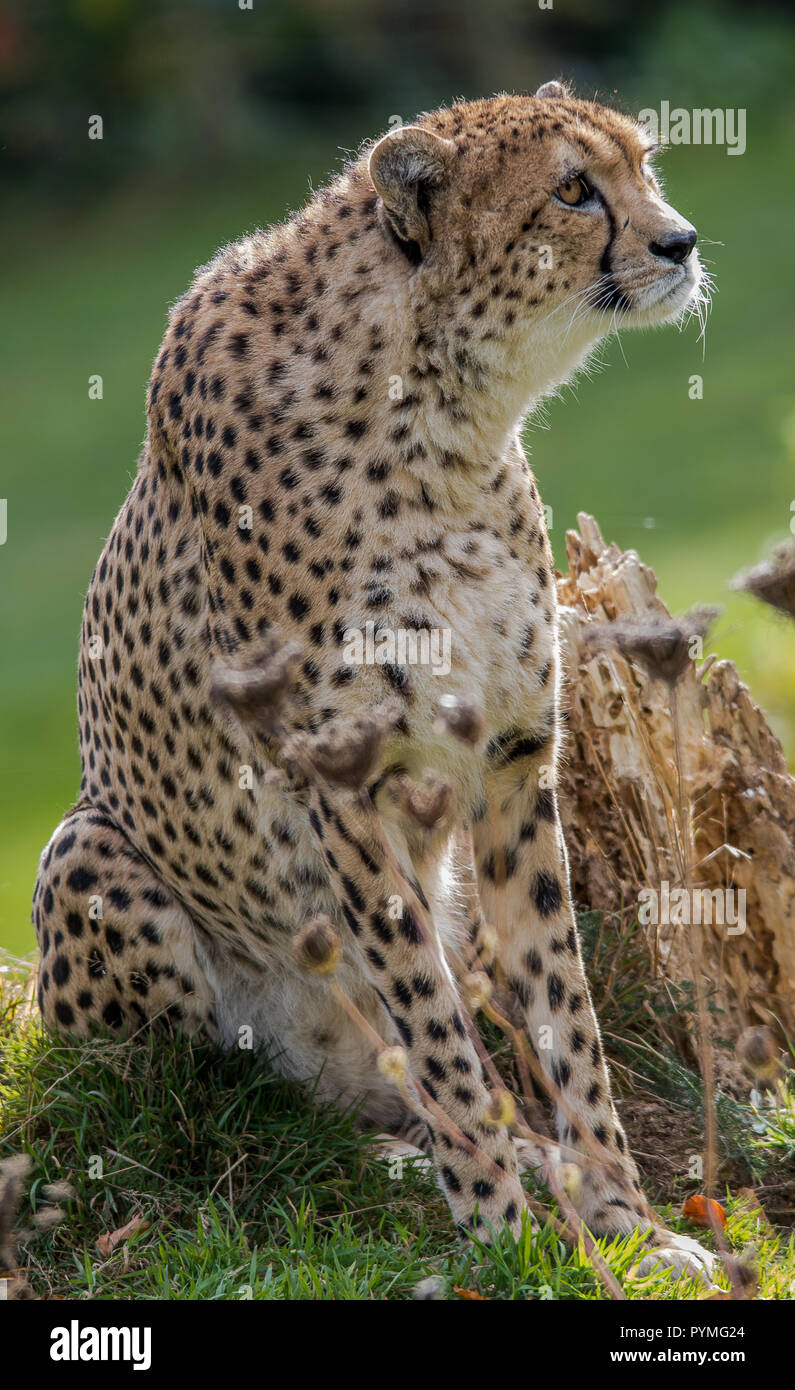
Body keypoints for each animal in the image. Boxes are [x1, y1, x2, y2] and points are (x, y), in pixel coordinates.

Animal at [33, 82, 713, 1280]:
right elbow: (437, 1034)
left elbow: (565, 1016)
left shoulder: (514, 766)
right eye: (573, 189)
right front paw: (501, 1240)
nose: (679, 242)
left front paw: (624, 1227)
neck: (444, 417)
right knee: (216, 1097)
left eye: (642, 165)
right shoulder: (345, 790)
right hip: (91, 857)